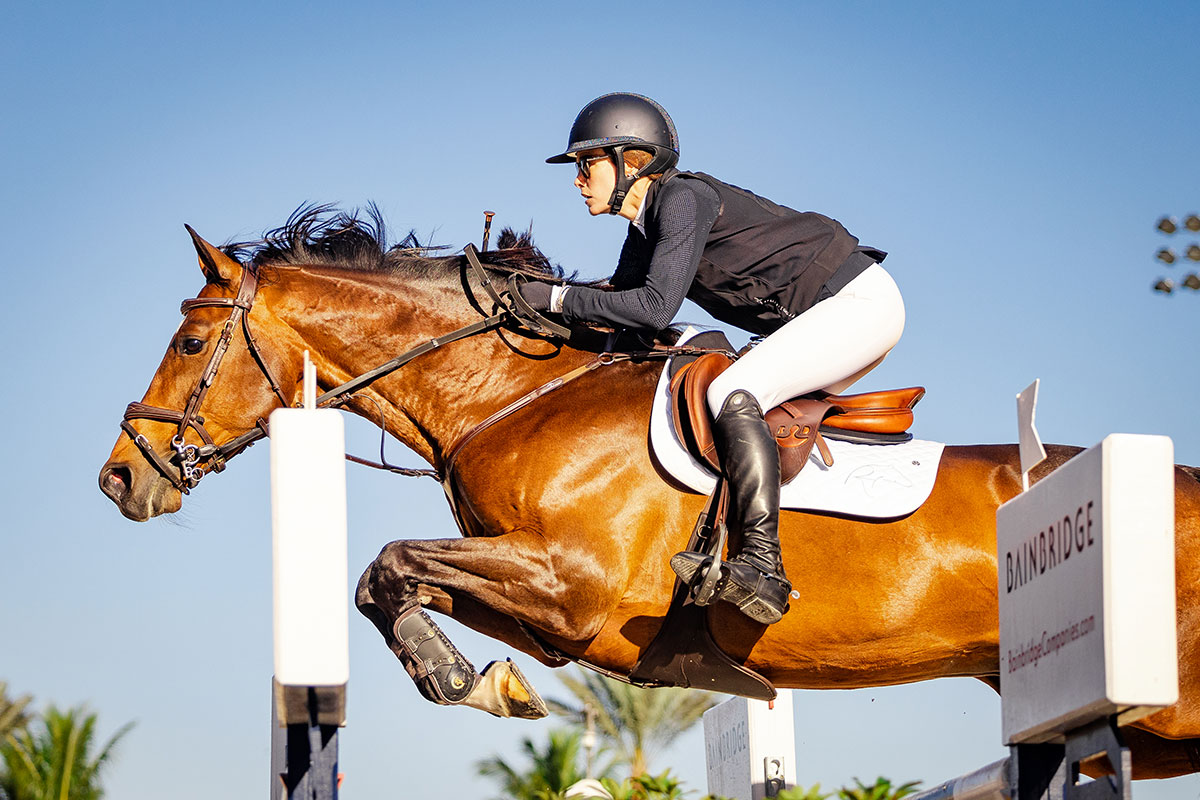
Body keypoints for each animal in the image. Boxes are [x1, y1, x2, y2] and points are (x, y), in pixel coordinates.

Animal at [98, 208, 1200, 779]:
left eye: (189, 341)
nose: (119, 477)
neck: (513, 394)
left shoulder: (573, 585)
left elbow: (388, 563)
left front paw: (465, 680)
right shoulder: (548, 607)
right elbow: (391, 579)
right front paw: (485, 681)